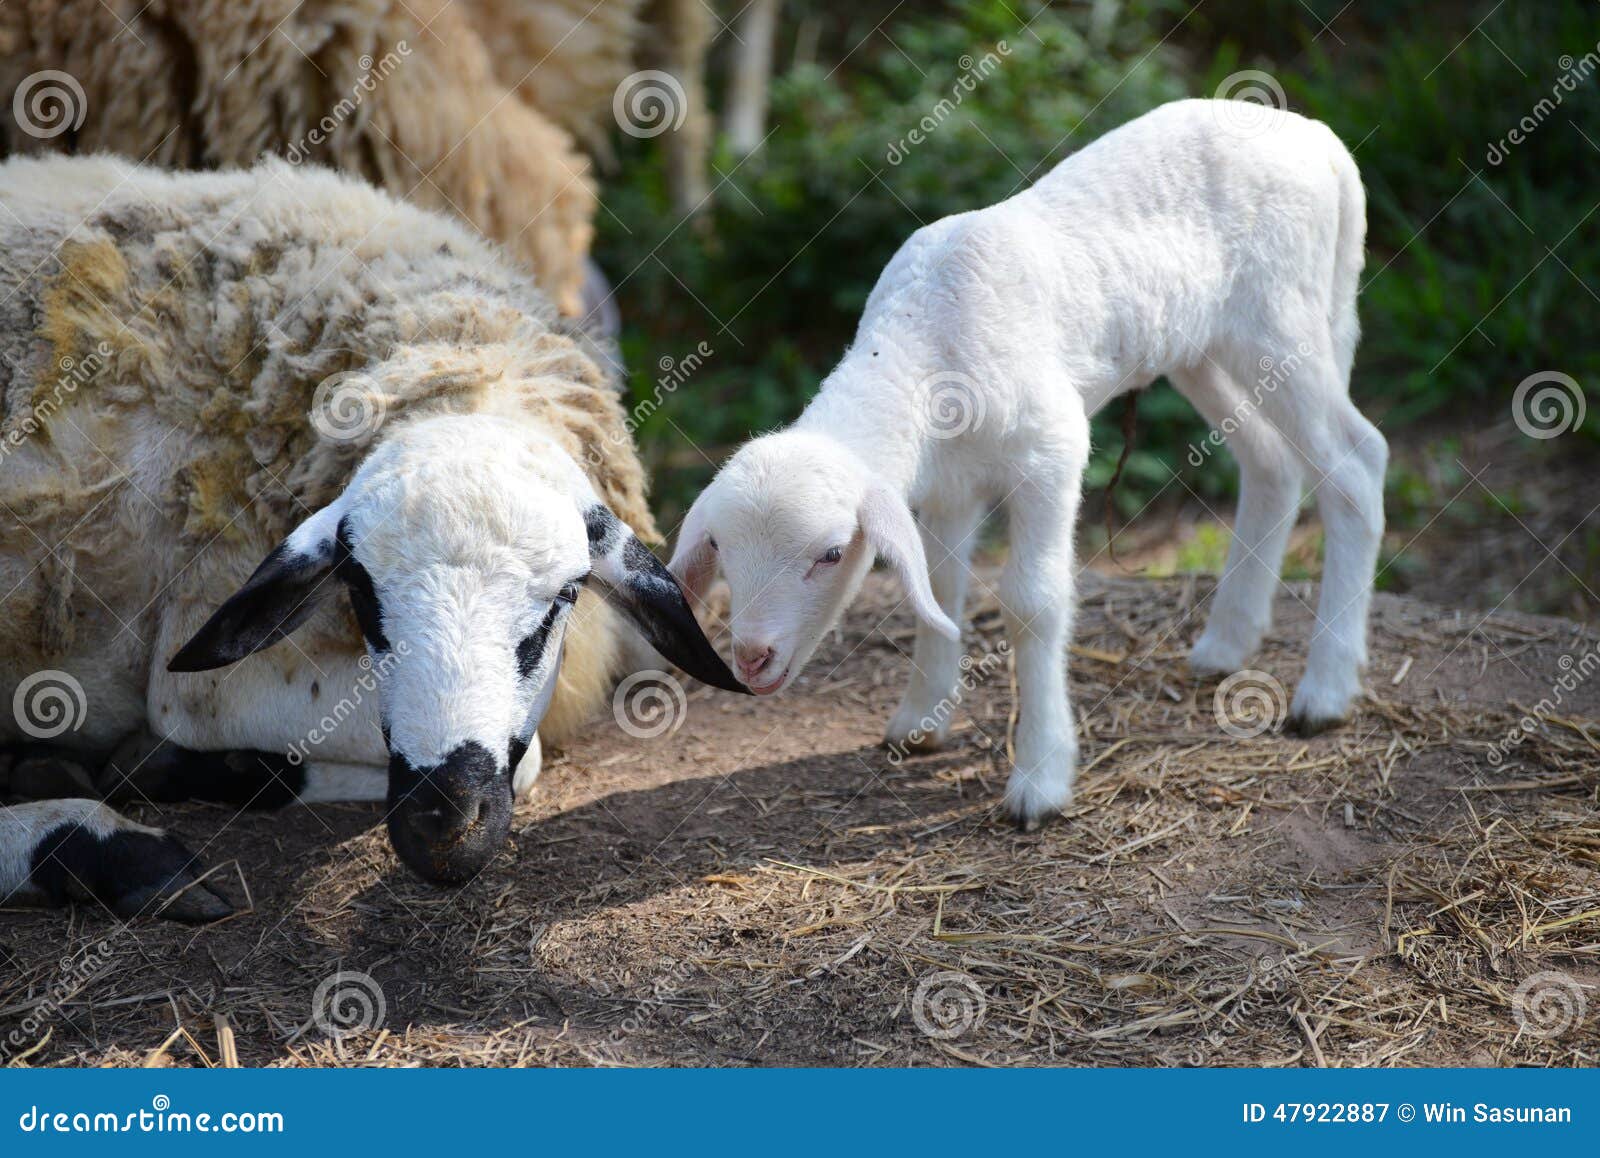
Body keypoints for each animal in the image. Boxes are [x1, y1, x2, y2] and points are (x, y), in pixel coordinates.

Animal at [0, 154, 743, 919]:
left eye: (563, 598)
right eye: (359, 590)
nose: (443, 825)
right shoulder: (202, 692)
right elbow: (528, 758)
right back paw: (107, 849)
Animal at [669, 99, 1388, 827]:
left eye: (832, 553)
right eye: (720, 550)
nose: (751, 659)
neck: (922, 350)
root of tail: (1322, 143)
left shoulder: (1052, 451)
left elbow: (1032, 602)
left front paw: (1040, 778)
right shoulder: (949, 487)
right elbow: (938, 591)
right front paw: (921, 720)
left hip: (1283, 321)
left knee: (1357, 464)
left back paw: (1327, 691)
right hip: (1203, 347)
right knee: (1272, 464)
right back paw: (1226, 645)